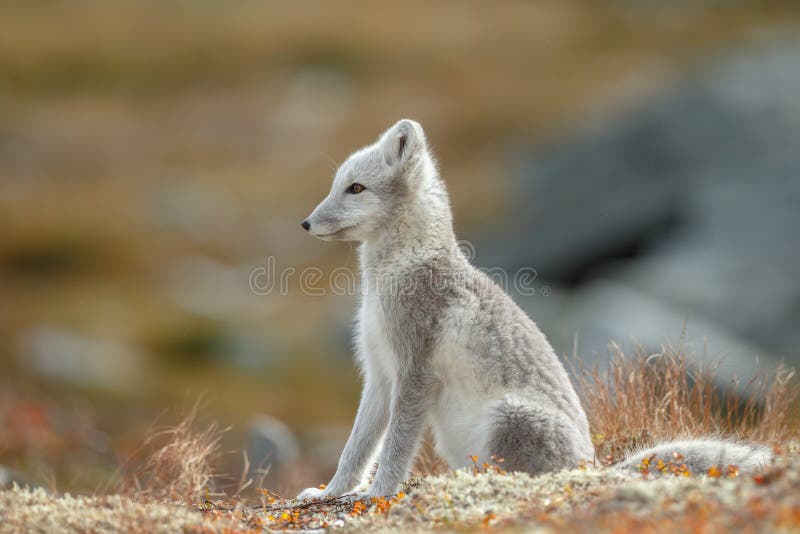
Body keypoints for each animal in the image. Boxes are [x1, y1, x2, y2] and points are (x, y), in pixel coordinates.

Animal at [296, 119, 771, 501]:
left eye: (356, 188)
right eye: (338, 184)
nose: (305, 223)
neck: (395, 275)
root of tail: (591, 467)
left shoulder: (415, 372)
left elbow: (395, 448)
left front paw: (376, 494)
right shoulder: (379, 373)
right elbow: (357, 447)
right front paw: (331, 492)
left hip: (509, 416)